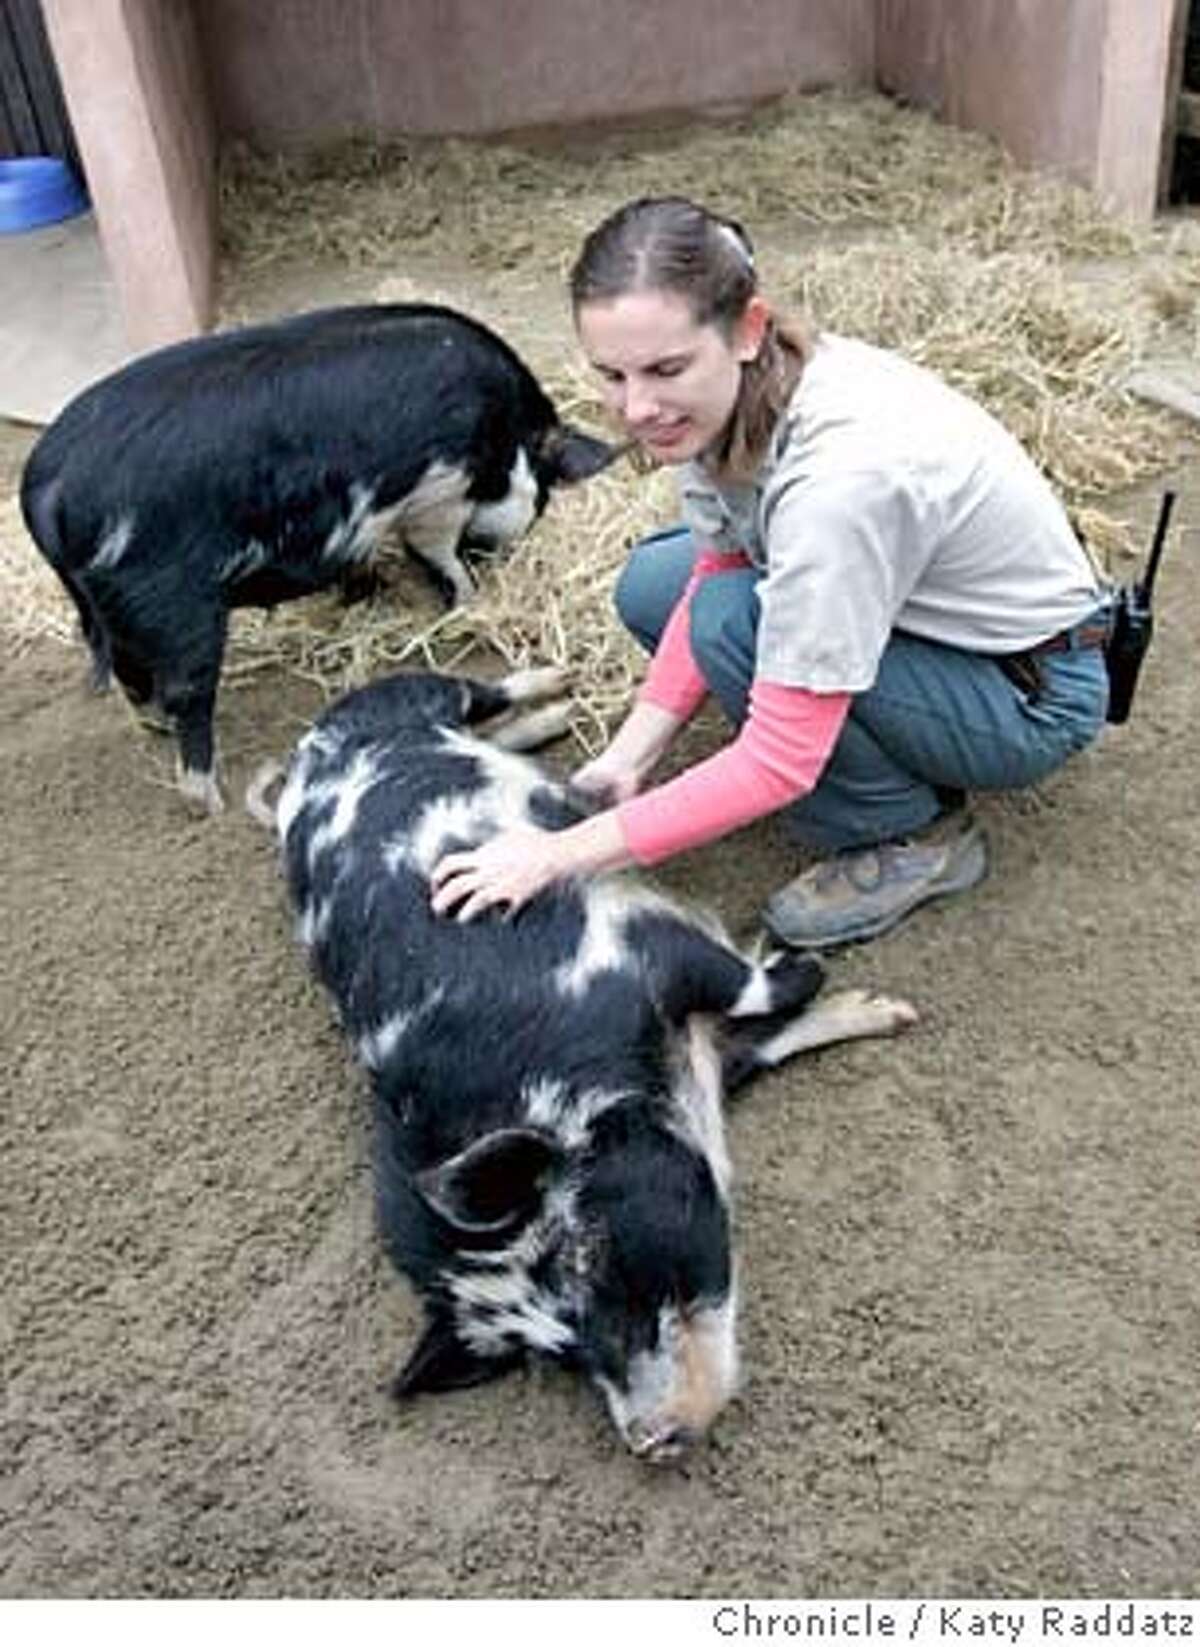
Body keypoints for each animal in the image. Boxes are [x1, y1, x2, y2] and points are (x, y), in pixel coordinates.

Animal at [19, 303, 618, 813]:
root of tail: (49, 486)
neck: (504, 431)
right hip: (174, 602)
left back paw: (159, 732)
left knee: (129, 672)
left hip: (102, 605)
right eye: (544, 491)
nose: (504, 553)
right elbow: (438, 552)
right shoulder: (440, 489)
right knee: (185, 693)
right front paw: (470, 599)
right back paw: (211, 802)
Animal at [252, 666, 917, 1462]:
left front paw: (820, 969)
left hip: (412, 689)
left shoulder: (645, 944)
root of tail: (312, 752)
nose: (649, 1441)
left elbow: (753, 986)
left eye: (585, 1258)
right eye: (552, 1350)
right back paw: (573, 758)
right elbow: (768, 1035)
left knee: (484, 697)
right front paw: (888, 1009)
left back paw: (560, 693)